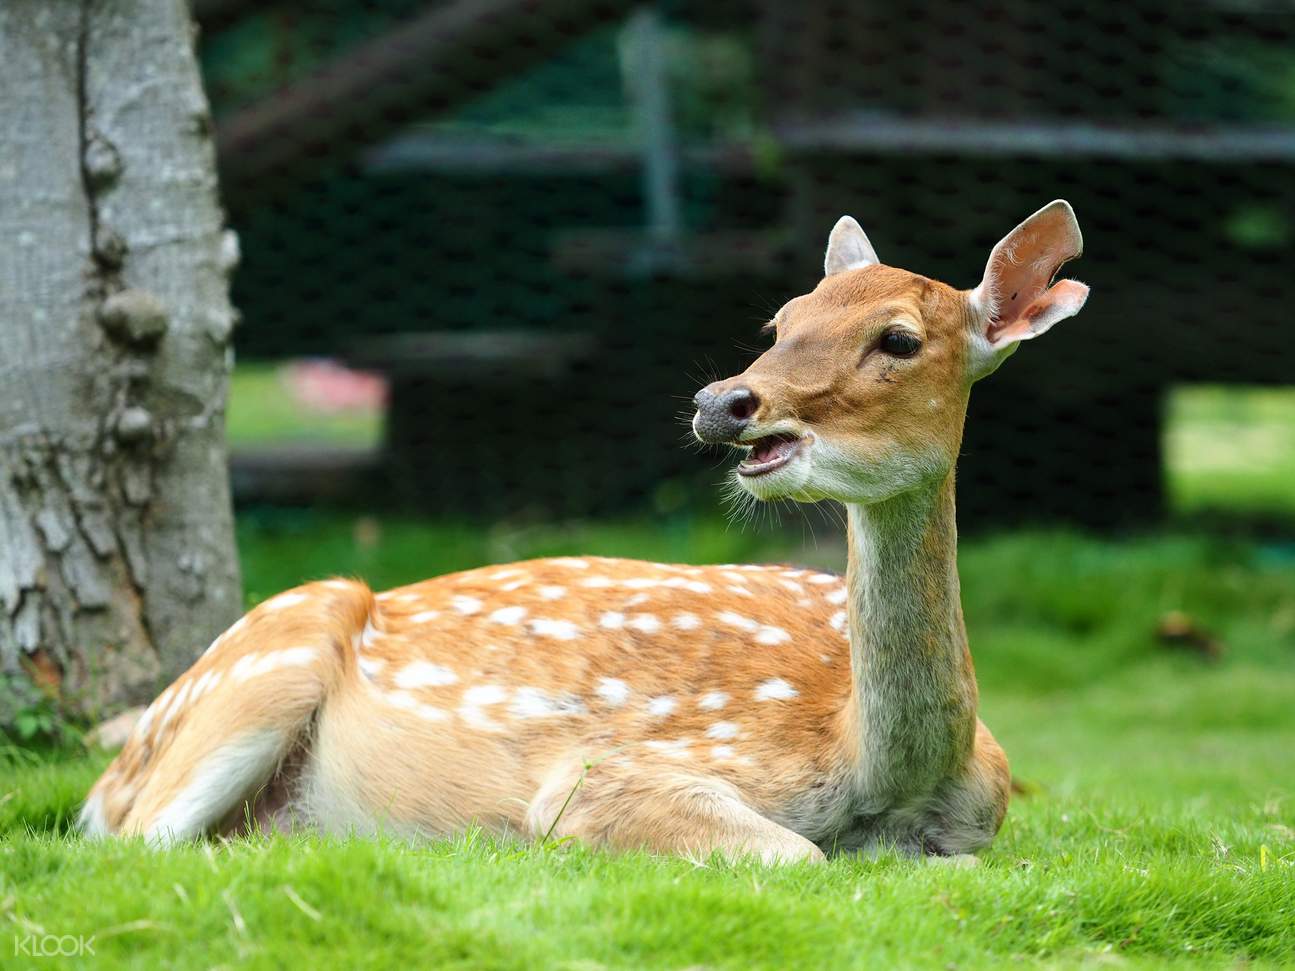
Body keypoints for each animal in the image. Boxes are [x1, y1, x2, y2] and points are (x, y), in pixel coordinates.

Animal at [81, 201, 1088, 863]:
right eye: (779, 320)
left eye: (899, 339)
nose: (722, 402)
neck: (878, 770)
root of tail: (105, 777)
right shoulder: (605, 772)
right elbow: (793, 852)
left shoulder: (982, 824)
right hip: (261, 658)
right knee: (130, 847)